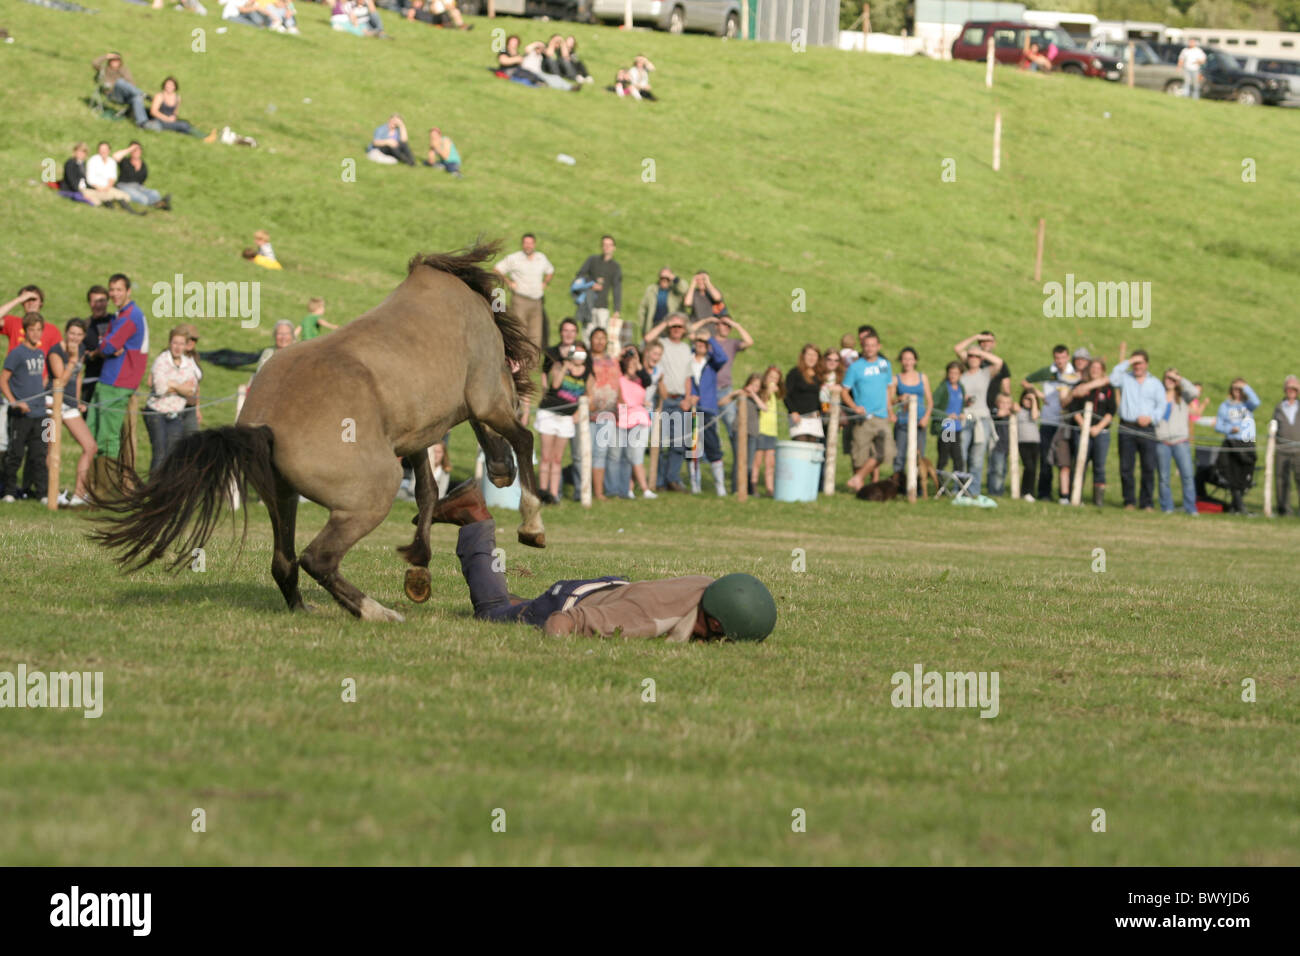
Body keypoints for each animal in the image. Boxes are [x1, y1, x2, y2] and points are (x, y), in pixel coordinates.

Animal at [91, 241, 544, 622]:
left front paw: (420, 560)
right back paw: (376, 612)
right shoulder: (484, 397)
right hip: (368, 498)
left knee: (284, 562)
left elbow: (428, 491)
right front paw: (530, 522)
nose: (499, 472)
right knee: (317, 559)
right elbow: (519, 438)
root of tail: (264, 425)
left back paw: (306, 608)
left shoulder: (415, 436)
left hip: (282, 496)